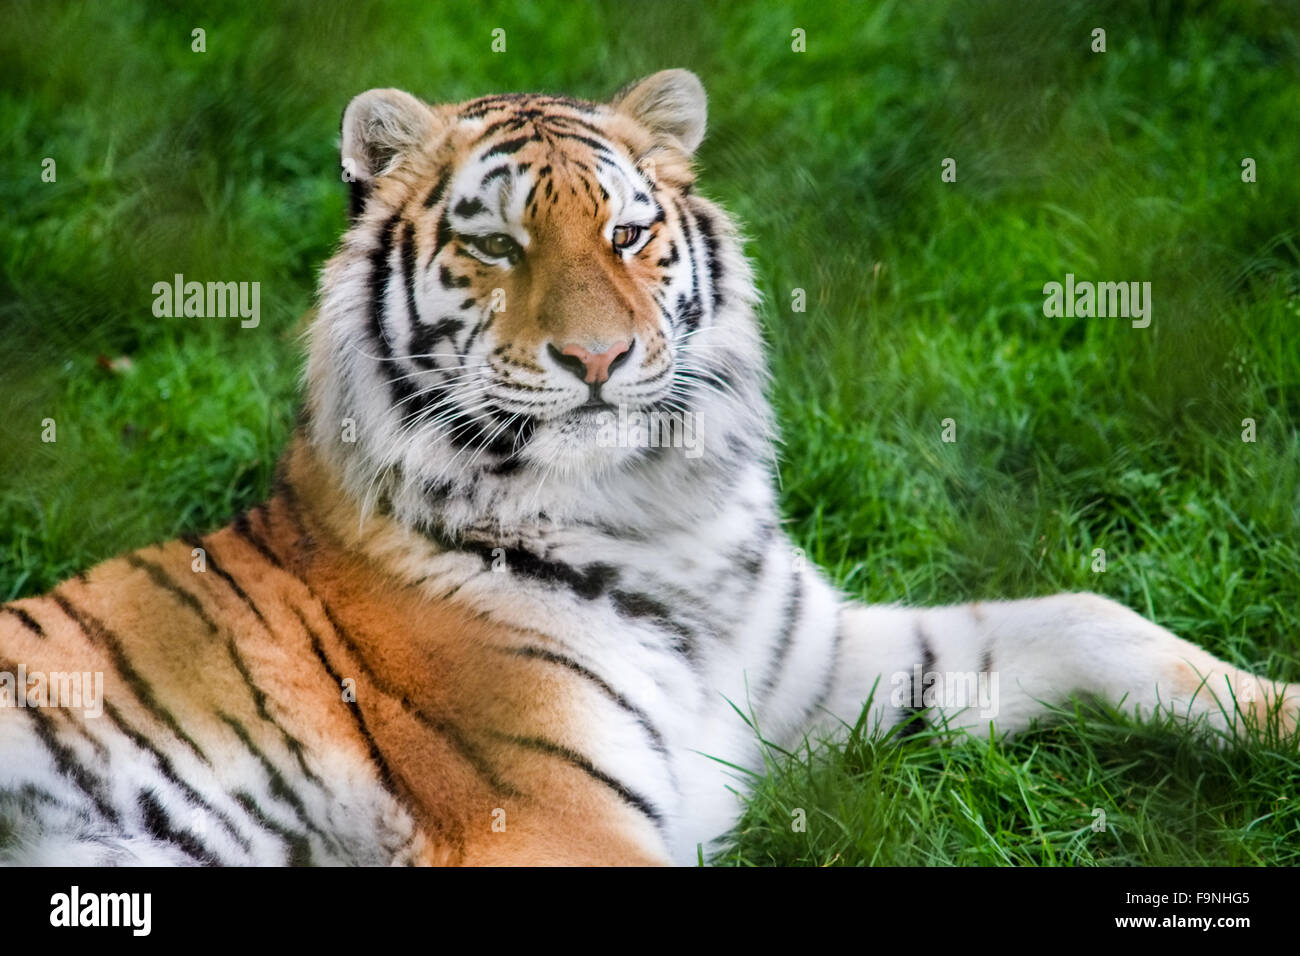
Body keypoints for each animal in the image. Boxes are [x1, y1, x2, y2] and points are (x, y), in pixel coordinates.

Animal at [1, 70, 1296, 866]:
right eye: (493, 242)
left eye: (627, 234)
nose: (596, 356)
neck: (654, 516)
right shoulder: (555, 823)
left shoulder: (810, 677)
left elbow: (1093, 618)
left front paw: (1279, 715)